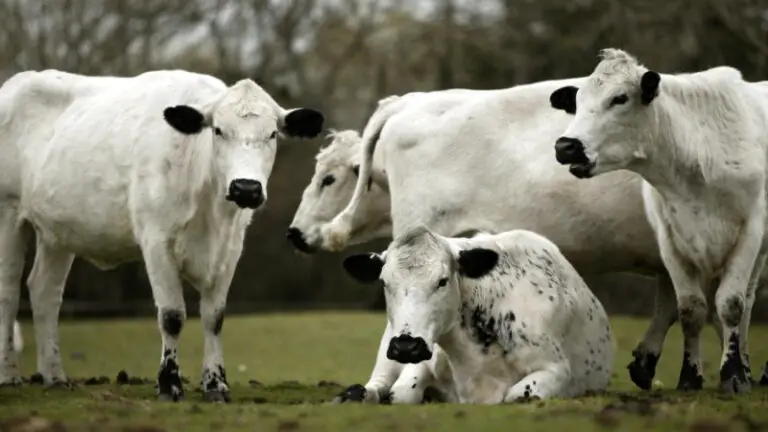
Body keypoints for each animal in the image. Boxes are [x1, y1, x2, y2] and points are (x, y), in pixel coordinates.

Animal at [0, 69, 324, 401]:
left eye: (272, 134)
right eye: (218, 131)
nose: (245, 188)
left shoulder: (230, 248)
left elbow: (214, 317)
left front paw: (216, 384)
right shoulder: (156, 241)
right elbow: (172, 316)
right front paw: (169, 383)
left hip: (58, 231)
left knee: (45, 292)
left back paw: (54, 376)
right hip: (8, 212)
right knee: (8, 292)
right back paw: (9, 375)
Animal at [342, 226, 614, 403]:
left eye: (442, 281)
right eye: (384, 282)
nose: (406, 346)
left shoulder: (556, 369)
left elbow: (517, 395)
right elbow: (401, 393)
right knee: (376, 384)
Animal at [550, 48, 768, 394]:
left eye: (620, 98)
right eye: (578, 100)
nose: (565, 145)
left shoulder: (750, 232)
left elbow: (731, 305)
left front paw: (734, 376)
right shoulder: (670, 240)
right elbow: (691, 309)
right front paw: (690, 377)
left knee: (745, 303)